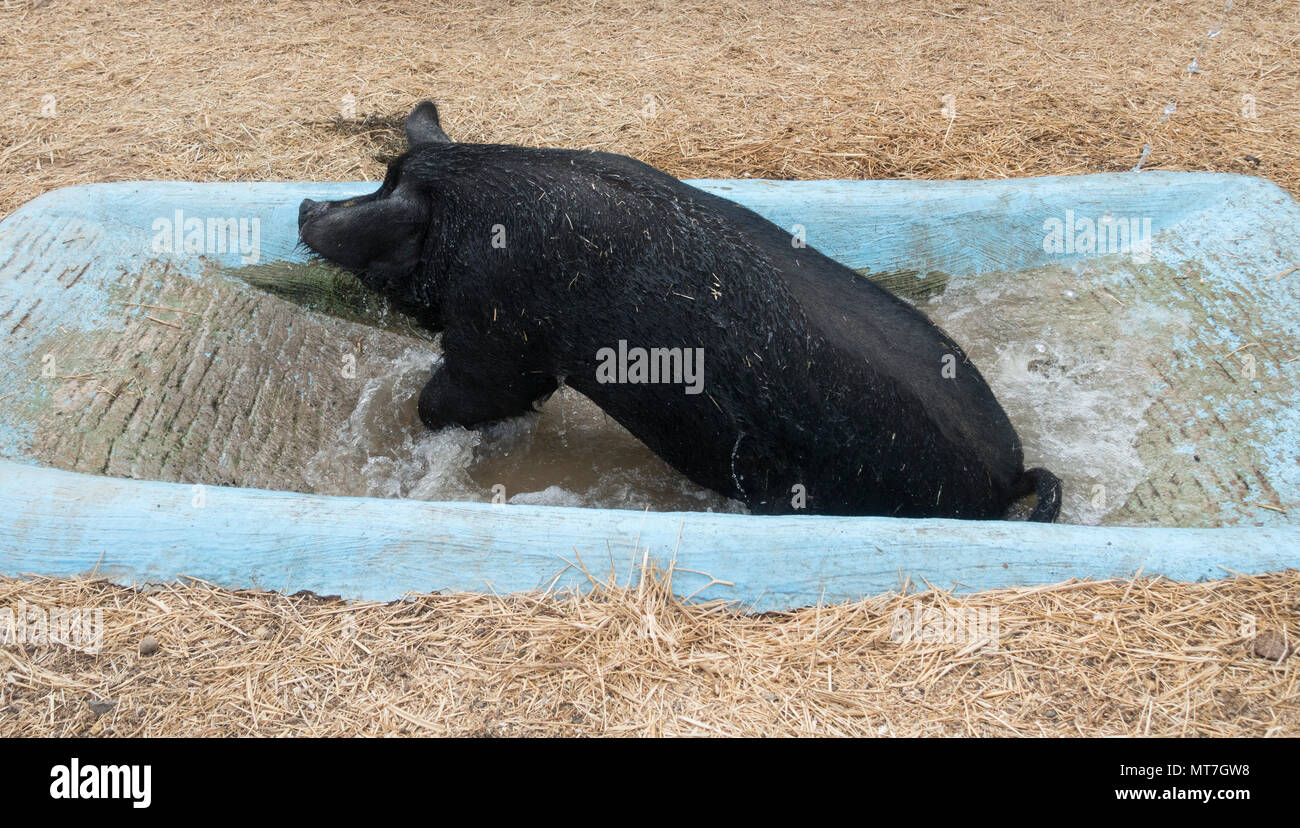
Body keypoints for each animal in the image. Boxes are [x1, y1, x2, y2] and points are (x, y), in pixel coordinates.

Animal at [298, 101, 1062, 521]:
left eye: (389, 202)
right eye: (380, 178)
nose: (306, 204)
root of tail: (1009, 476)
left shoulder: (501, 340)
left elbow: (460, 395)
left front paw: (423, 417)